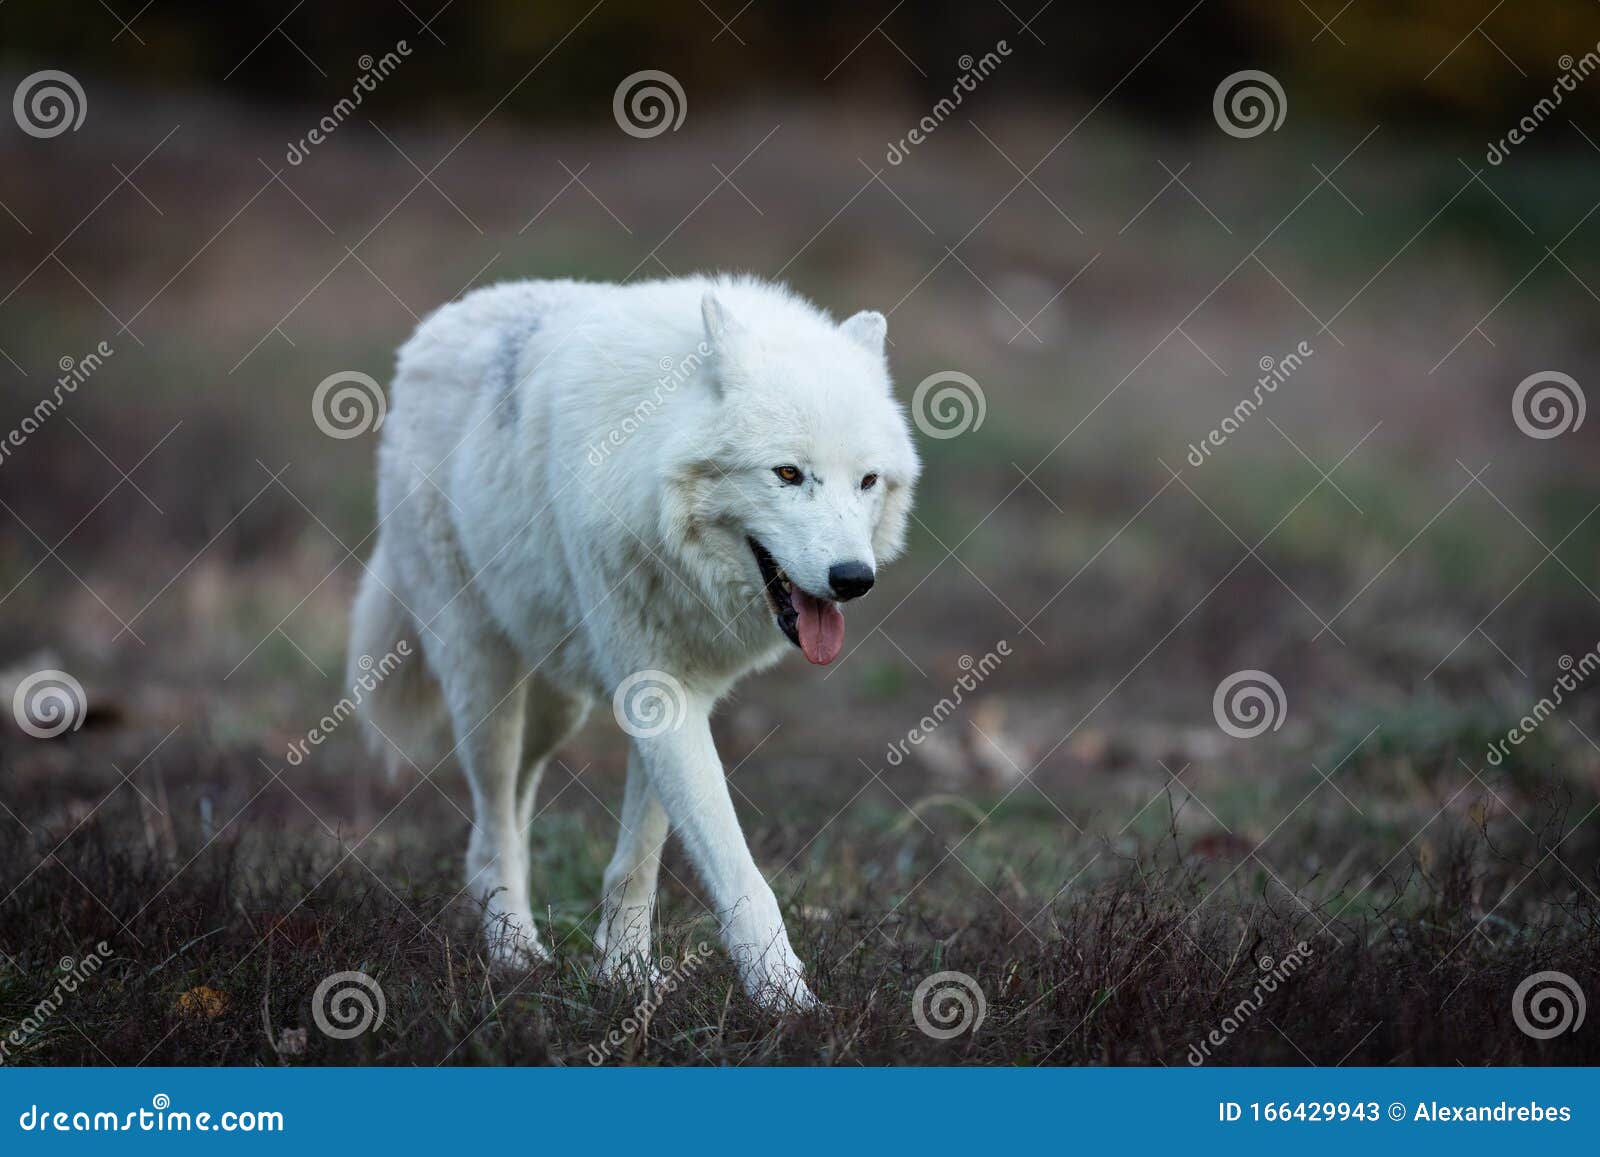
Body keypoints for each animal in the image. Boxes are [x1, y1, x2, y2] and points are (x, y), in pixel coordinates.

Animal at [348, 275, 919, 1010]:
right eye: (789, 474)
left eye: (867, 481)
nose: (853, 578)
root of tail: (436, 325)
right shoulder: (657, 687)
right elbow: (737, 868)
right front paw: (787, 1002)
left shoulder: (670, 684)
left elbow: (640, 855)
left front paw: (621, 973)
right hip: (484, 682)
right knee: (496, 813)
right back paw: (512, 951)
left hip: (558, 709)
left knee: (500, 820)